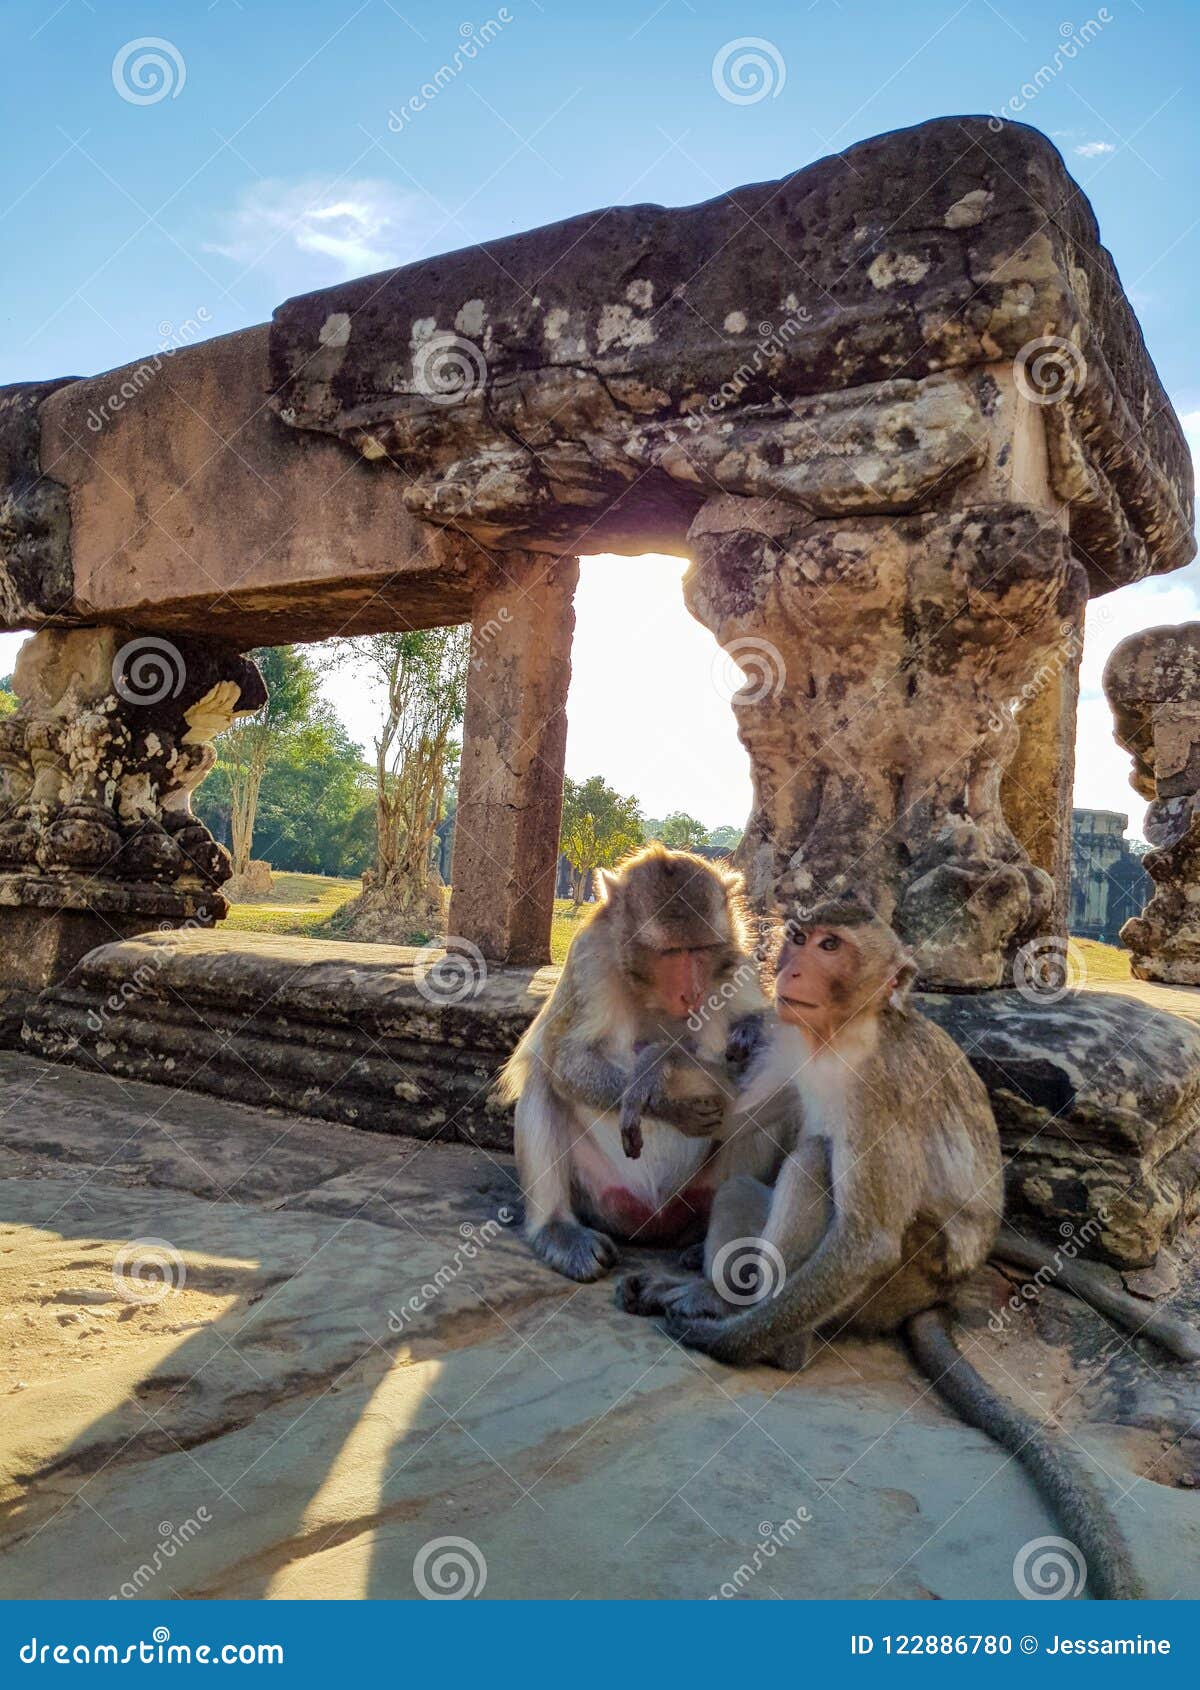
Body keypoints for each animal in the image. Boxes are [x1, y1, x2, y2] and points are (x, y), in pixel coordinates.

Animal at [496, 843, 782, 1283]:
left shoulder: (739, 964)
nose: (691, 993)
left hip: (699, 1193)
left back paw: (708, 1245)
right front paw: (665, 1101)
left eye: (700, 949)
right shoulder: (590, 957)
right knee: (544, 1081)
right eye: (670, 952)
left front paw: (747, 1032)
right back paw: (557, 1229)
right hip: (601, 1193)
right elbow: (566, 1059)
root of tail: (654, 1220)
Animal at [617, 898, 1200, 1601]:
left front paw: (719, 1339)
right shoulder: (794, 1041)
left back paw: (770, 1339)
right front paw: (654, 1082)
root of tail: (941, 1294)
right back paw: (708, 1287)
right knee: (760, 1169)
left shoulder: (880, 1088)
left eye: (831, 946)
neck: (847, 1033)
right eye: (800, 937)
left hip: (904, 1277)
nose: (790, 968)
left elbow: (866, 1240)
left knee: (816, 1163)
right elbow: (742, 1121)